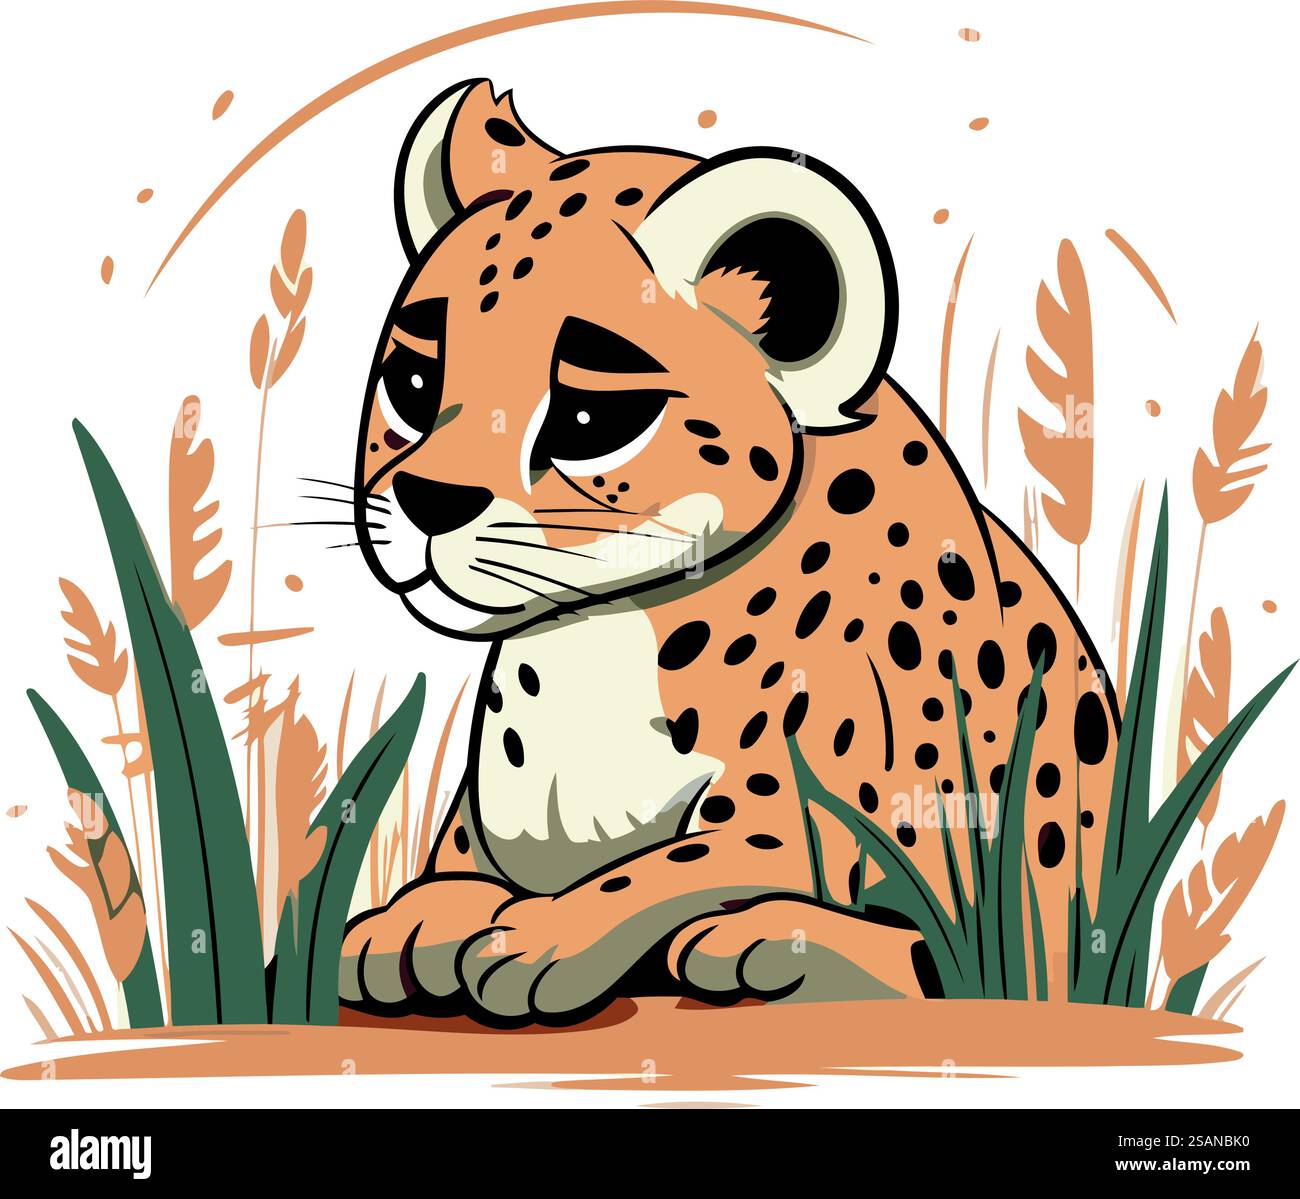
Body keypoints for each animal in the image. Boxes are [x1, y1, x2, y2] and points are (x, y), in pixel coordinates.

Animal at [338, 79, 1119, 1025]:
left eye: (590, 416)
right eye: (414, 383)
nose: (429, 500)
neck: (586, 640)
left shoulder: (790, 820)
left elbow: (663, 866)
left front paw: (534, 937)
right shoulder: (496, 822)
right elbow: (460, 859)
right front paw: (414, 918)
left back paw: (764, 943)